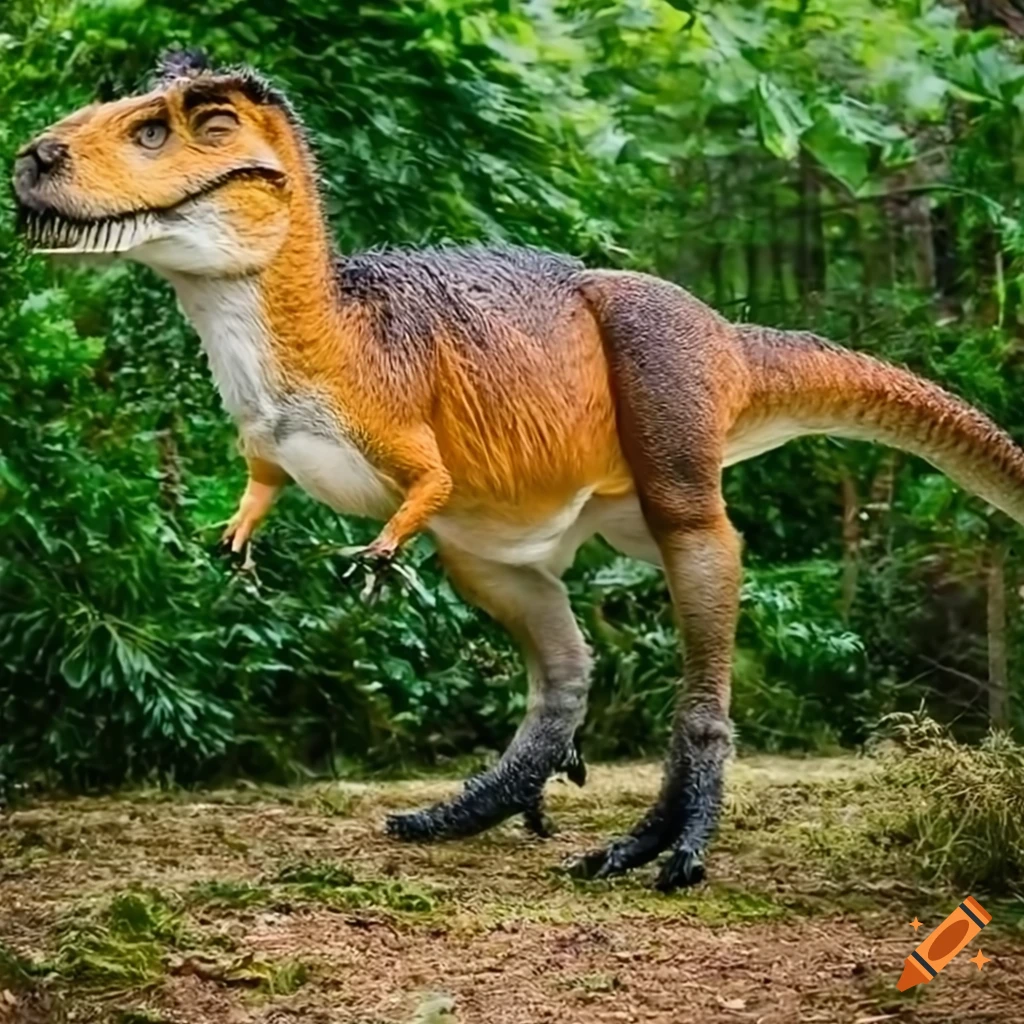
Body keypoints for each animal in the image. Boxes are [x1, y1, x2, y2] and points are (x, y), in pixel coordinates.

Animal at [13, 49, 1024, 890]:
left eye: (179, 124)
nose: (31, 156)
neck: (315, 343)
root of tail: (732, 342)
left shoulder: (401, 420)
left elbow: (423, 486)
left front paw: (377, 555)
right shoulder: (271, 441)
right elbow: (266, 483)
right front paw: (238, 533)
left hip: (664, 375)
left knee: (702, 542)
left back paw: (665, 845)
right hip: (523, 537)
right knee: (562, 653)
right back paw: (472, 808)